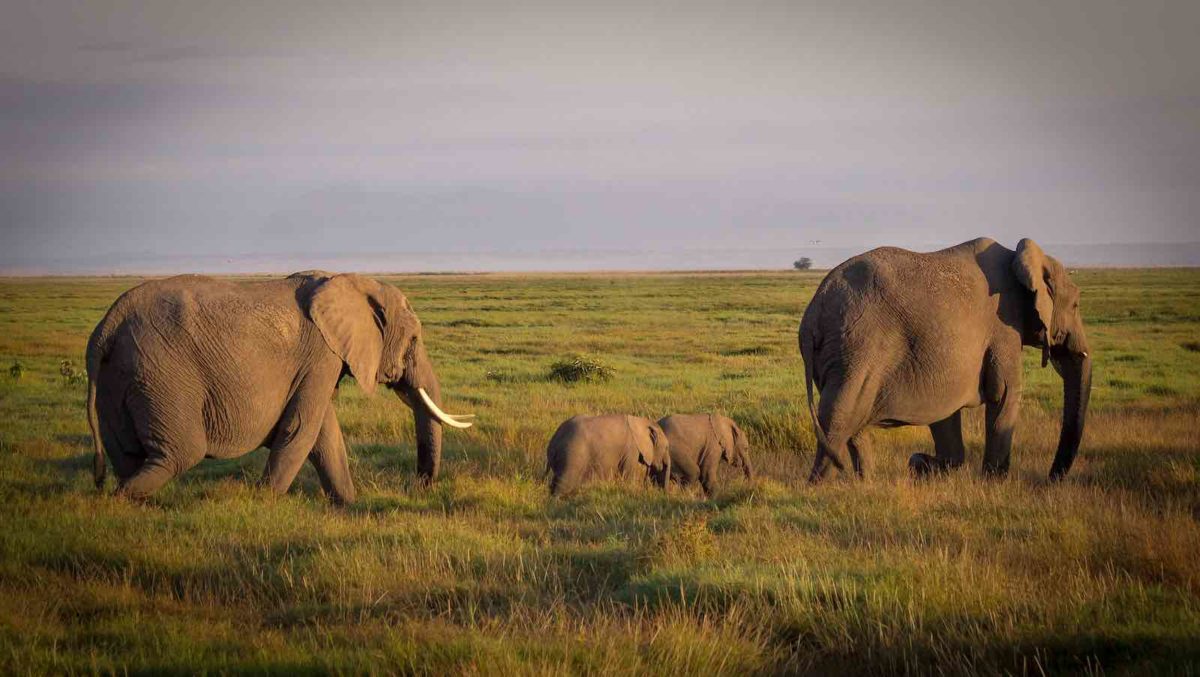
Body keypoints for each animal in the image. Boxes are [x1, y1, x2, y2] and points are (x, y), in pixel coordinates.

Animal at [85, 271, 474, 503]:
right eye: (413, 340)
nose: (419, 487)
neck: (353, 281)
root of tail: (108, 325)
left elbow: (325, 436)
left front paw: (348, 506)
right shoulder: (320, 356)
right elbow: (302, 429)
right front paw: (265, 504)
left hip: (120, 376)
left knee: (128, 454)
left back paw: (128, 503)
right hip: (162, 373)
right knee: (181, 452)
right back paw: (119, 501)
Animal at [799, 238, 1092, 482]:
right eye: (1076, 305)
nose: (1051, 479)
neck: (1019, 259)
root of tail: (813, 312)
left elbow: (945, 409)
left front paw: (923, 464)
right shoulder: (1004, 327)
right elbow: (1005, 393)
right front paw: (995, 482)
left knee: (853, 421)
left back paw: (867, 484)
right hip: (858, 346)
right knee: (839, 416)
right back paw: (819, 486)